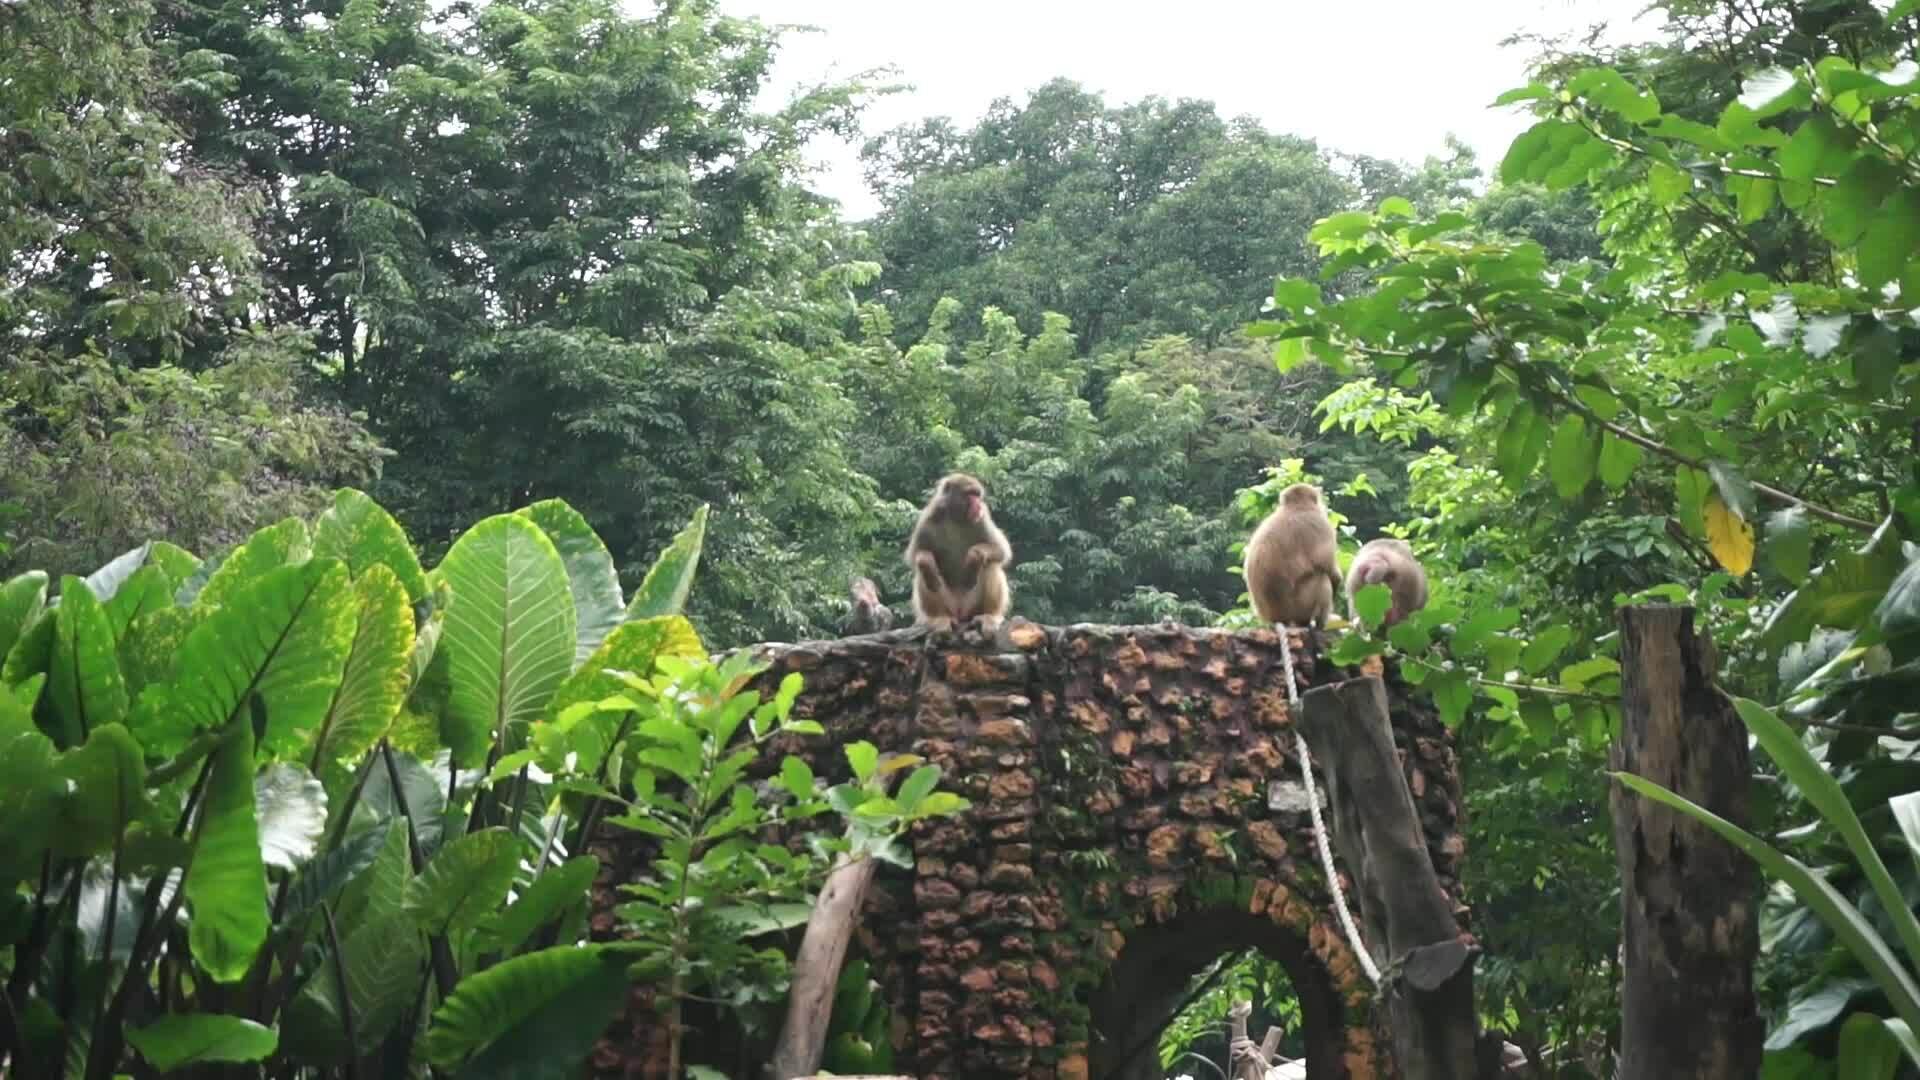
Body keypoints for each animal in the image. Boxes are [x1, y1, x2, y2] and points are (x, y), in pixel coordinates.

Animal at [903, 472, 1012, 632]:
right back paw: (939, 617)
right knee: (924, 573)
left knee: (990, 565)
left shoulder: (983, 518)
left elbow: (1002, 551)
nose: (978, 504)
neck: (956, 518)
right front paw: (926, 561)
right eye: (970, 494)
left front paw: (974, 558)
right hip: (949, 606)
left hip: (972, 606)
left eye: (977, 495)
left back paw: (989, 615)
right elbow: (915, 556)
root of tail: (960, 614)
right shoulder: (927, 519)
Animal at [1242, 482, 1341, 628]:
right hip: (1299, 608)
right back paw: (1319, 624)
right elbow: (1329, 570)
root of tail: (1276, 618)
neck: (1296, 508)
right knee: (1322, 578)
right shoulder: (1321, 525)